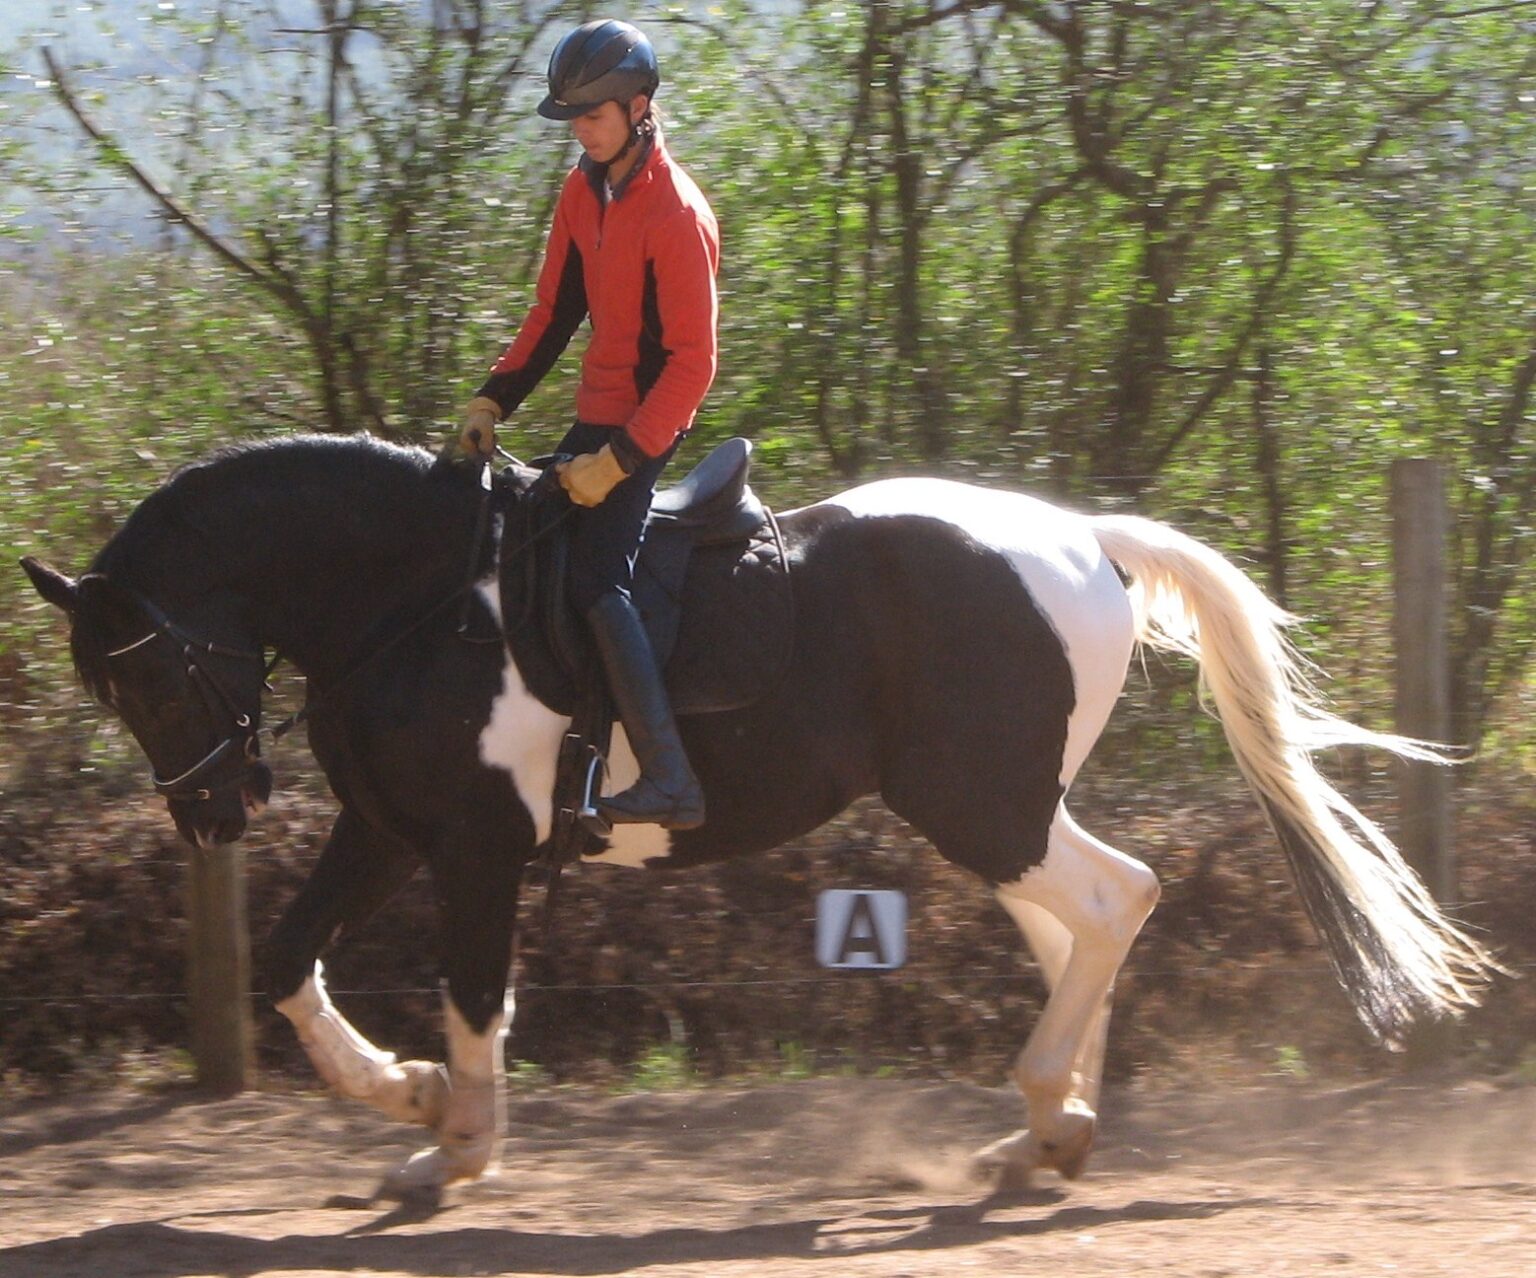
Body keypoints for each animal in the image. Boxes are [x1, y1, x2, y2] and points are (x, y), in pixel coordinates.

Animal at [21, 433, 1495, 1202]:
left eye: (143, 672)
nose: (212, 810)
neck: (415, 598)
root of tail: (1084, 540)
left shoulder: (477, 850)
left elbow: (475, 992)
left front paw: (459, 1142)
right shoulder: (387, 833)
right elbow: (285, 963)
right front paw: (415, 1102)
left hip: (983, 805)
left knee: (1116, 897)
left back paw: (1043, 1113)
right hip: (999, 807)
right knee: (1079, 924)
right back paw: (1048, 1131)